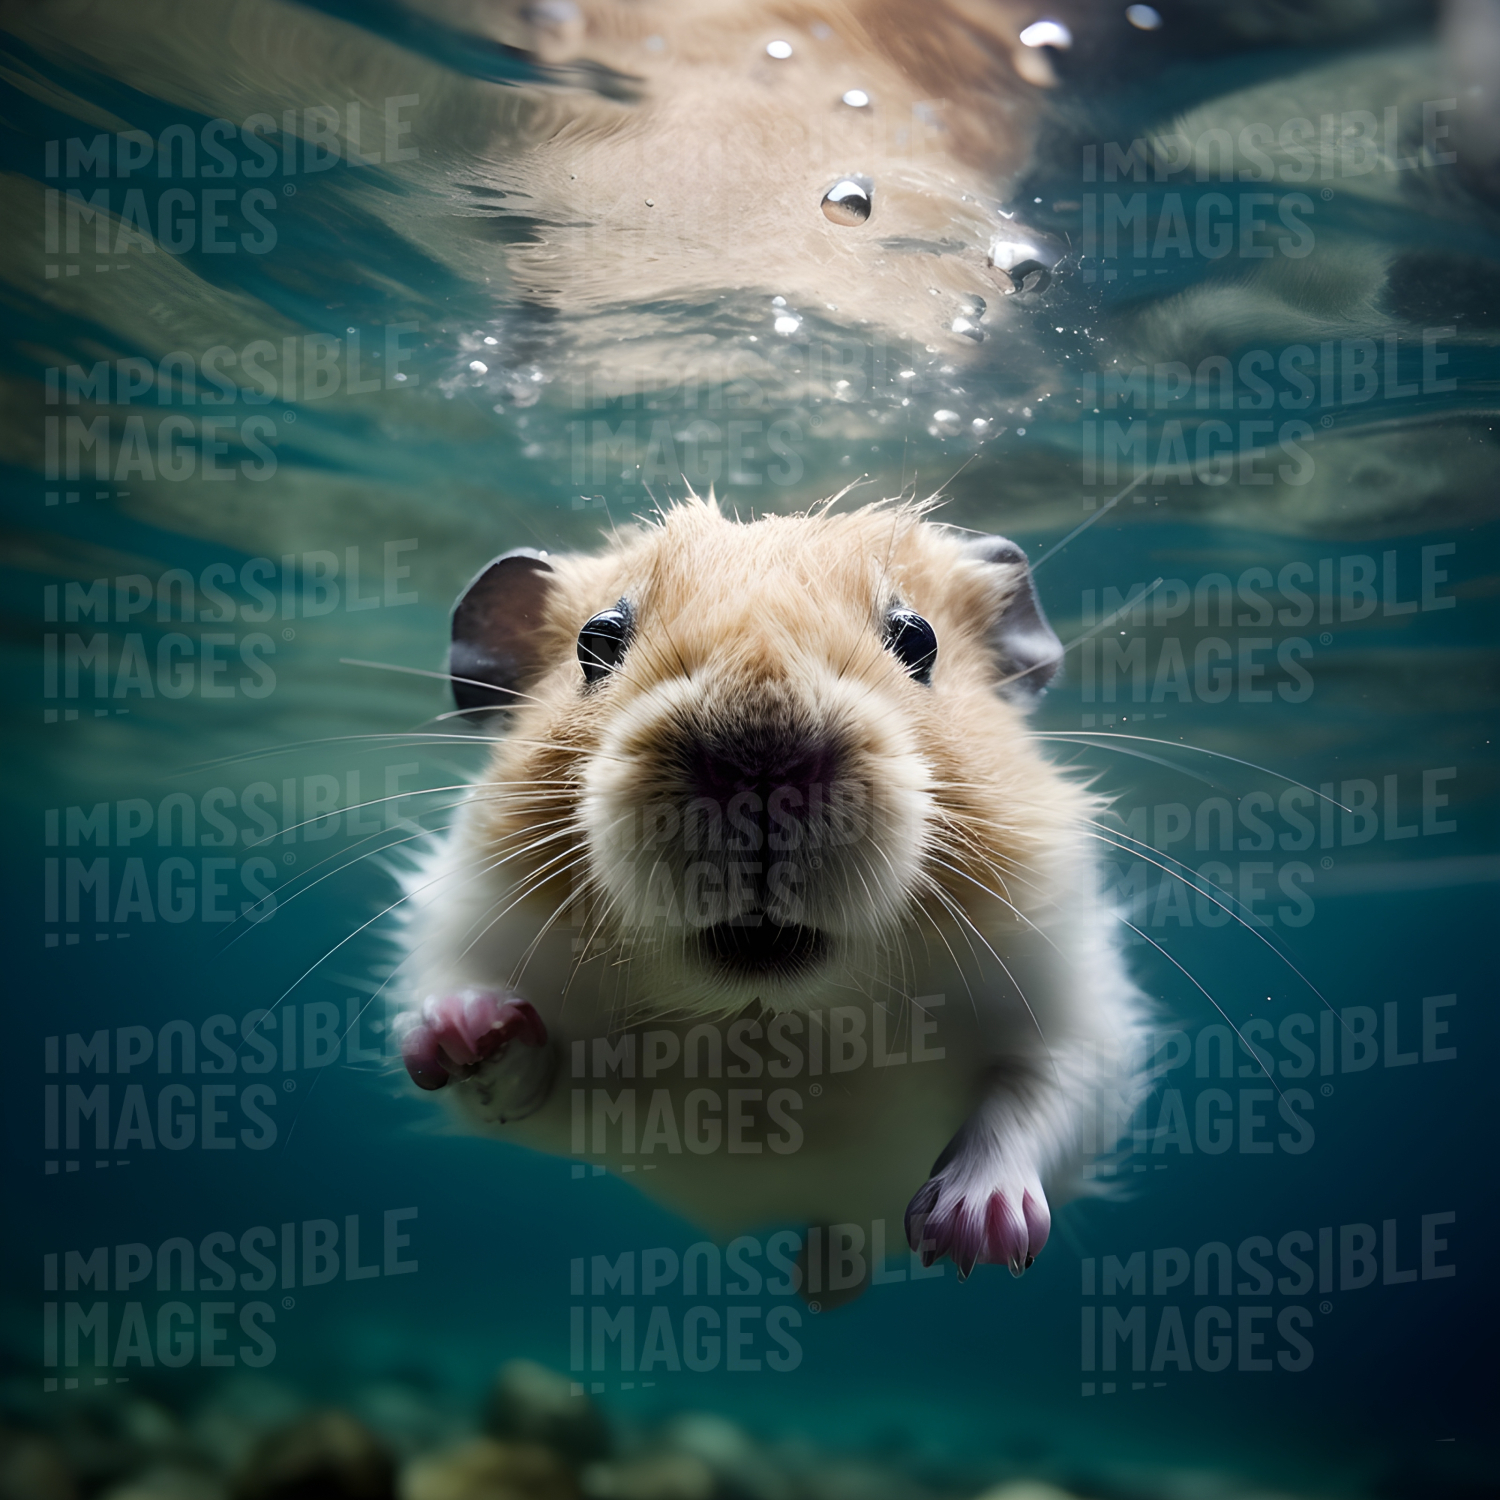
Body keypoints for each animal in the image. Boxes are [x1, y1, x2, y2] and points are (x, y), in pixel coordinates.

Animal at [395, 497, 1149, 1282]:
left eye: (918, 639)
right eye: (596, 641)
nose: (760, 769)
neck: (767, 1018)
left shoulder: (1085, 1010)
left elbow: (1037, 1094)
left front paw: (974, 1237)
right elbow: (509, 1078)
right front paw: (463, 1028)